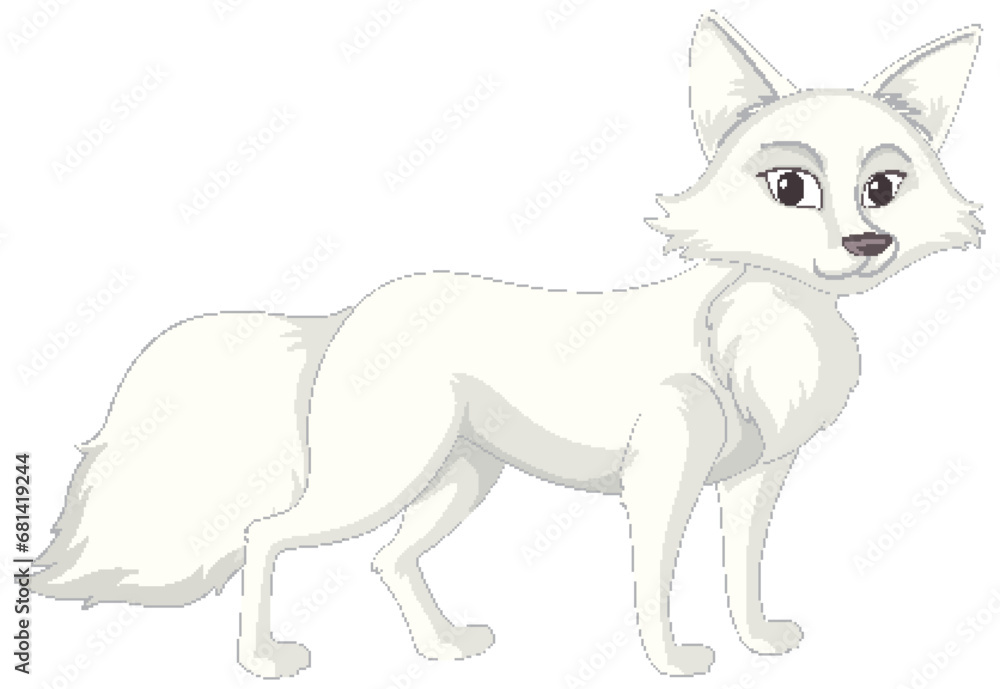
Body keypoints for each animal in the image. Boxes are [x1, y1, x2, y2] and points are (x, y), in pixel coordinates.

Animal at [33, 11, 983, 679]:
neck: (768, 334)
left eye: (884, 187)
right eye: (790, 186)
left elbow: (741, 572)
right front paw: (672, 663)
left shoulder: (756, 478)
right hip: (380, 478)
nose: (866, 244)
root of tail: (349, 312)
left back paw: (443, 648)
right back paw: (265, 661)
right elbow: (655, 582)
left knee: (386, 558)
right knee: (265, 534)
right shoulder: (661, 479)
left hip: (458, 482)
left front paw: (759, 641)